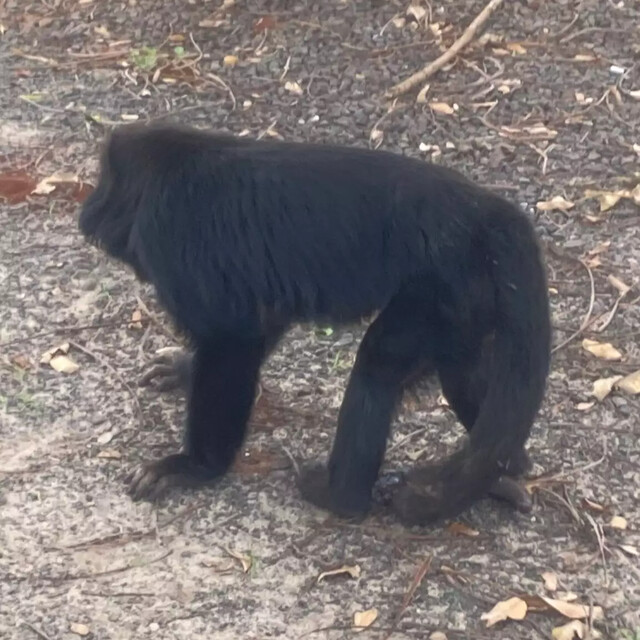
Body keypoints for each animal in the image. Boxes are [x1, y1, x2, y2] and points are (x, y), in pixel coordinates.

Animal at [78, 122, 551, 526]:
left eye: (101, 183)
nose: (85, 212)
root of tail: (488, 214)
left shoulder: (170, 234)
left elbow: (233, 339)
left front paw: (195, 467)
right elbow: (262, 317)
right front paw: (185, 370)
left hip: (442, 287)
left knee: (379, 361)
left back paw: (341, 496)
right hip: (469, 299)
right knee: (459, 376)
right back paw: (506, 473)